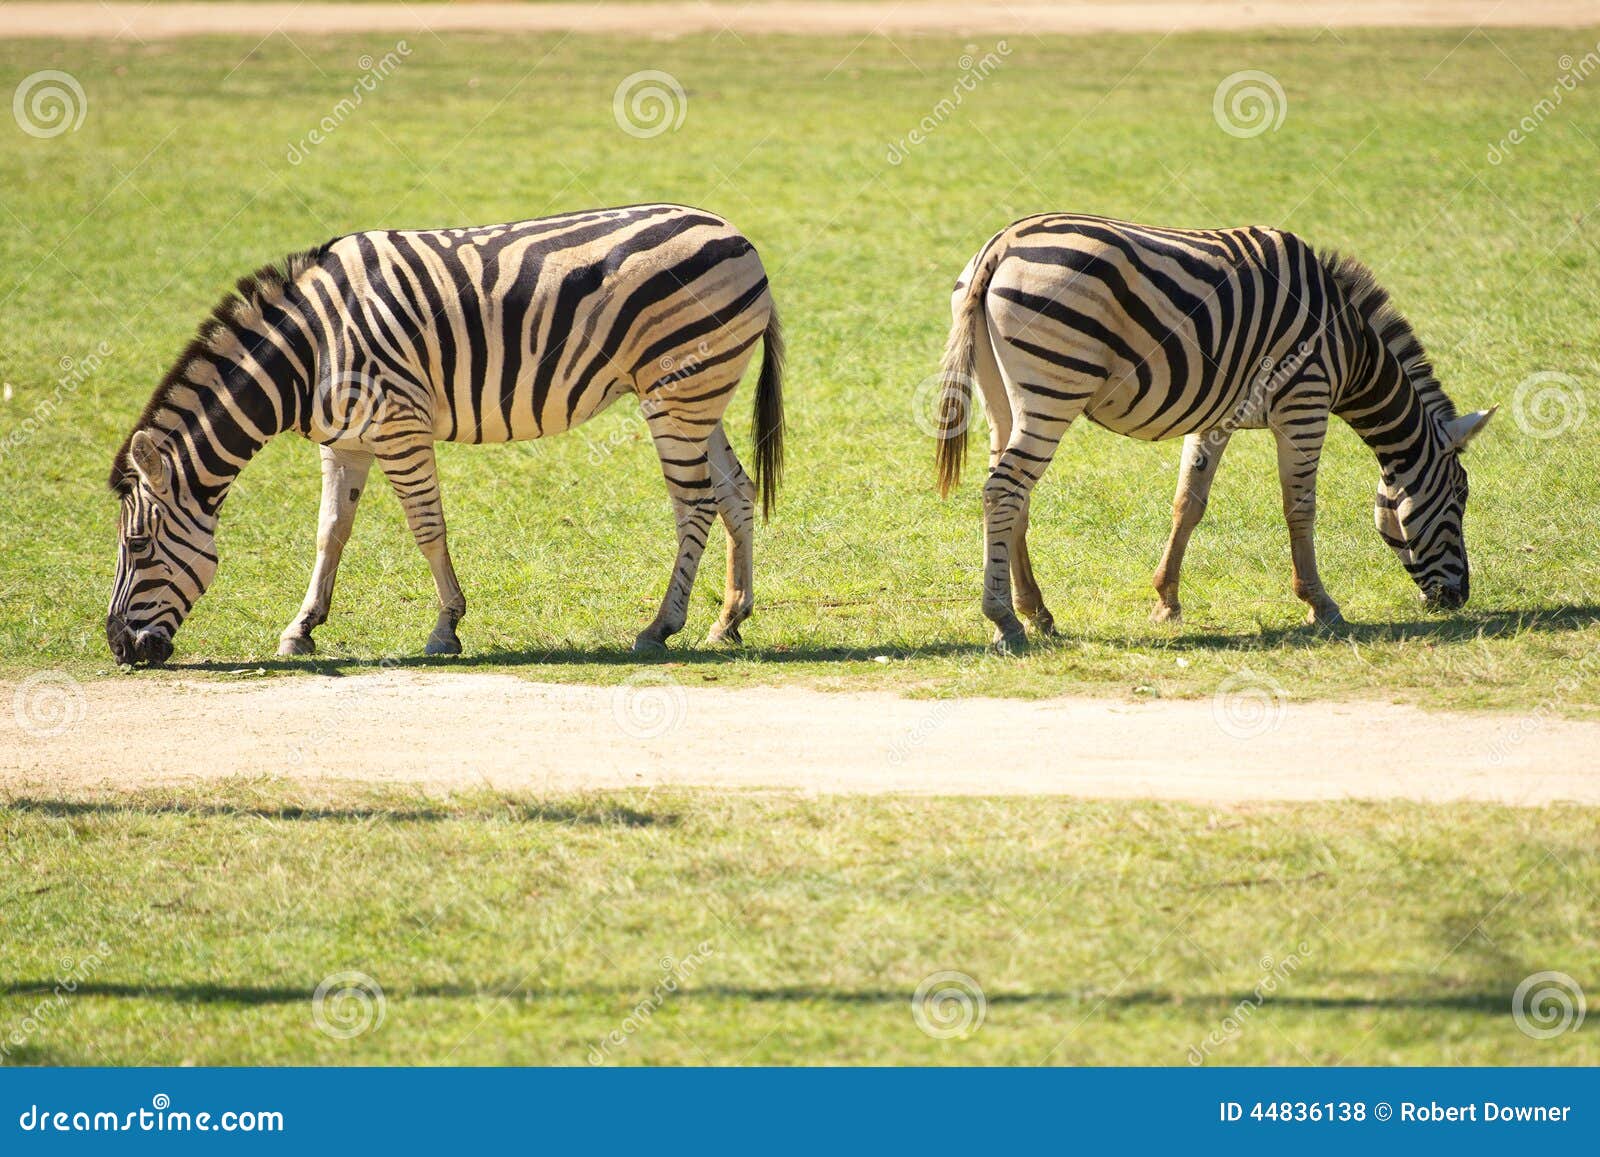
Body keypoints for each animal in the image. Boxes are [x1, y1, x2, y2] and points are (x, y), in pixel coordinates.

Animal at [107, 203, 784, 666]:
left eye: (138, 546)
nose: (119, 647)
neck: (309, 353)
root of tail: (737, 235)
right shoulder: (344, 441)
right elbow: (330, 533)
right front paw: (302, 628)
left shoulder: (398, 426)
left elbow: (426, 528)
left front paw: (445, 628)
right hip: (698, 392)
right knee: (736, 492)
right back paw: (730, 619)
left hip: (677, 392)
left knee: (694, 503)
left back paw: (660, 626)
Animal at [933, 213, 1495, 648]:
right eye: (1460, 498)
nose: (1458, 598)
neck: (1351, 349)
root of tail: (1003, 243)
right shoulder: (1305, 402)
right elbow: (1300, 508)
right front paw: (1320, 604)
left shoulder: (1216, 417)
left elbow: (1189, 503)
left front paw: (1166, 600)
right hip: (1053, 390)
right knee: (1004, 491)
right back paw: (1005, 621)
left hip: (1002, 399)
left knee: (1012, 497)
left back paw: (1036, 613)